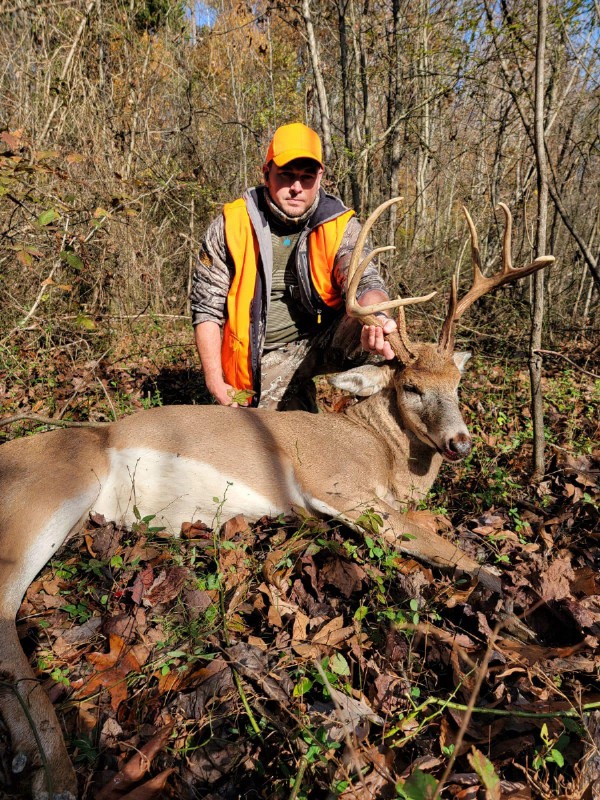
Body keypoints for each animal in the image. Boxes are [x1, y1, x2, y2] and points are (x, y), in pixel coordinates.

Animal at [0, 198, 553, 800]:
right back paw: (52, 770)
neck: (376, 448)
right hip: (56, 486)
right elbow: (446, 549)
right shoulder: (333, 484)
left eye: (457, 384)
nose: (460, 442)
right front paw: (524, 621)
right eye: (411, 387)